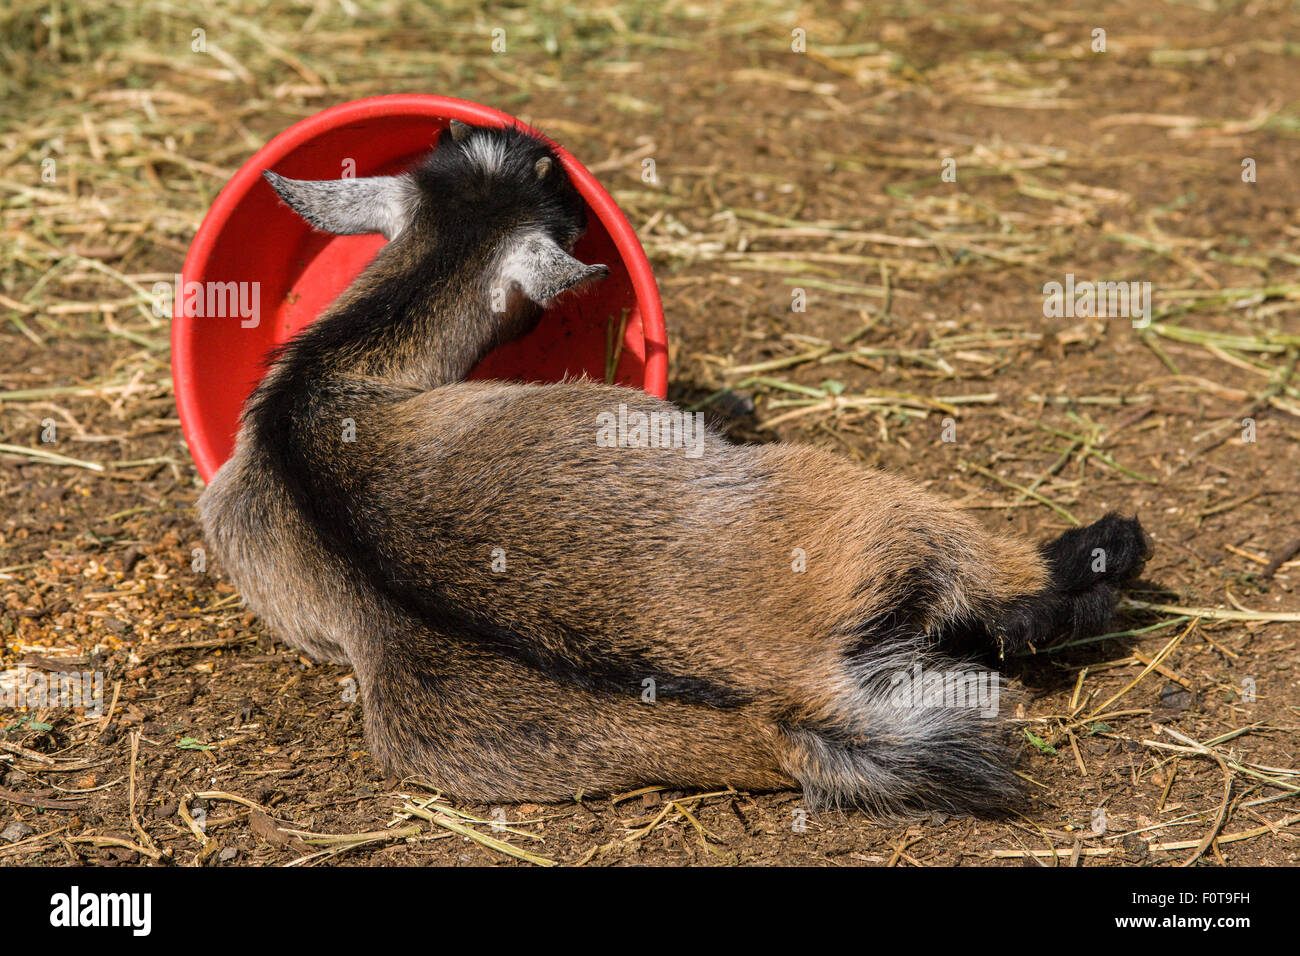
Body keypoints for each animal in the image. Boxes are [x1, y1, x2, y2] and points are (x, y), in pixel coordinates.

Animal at [199, 120, 1151, 815]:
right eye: (553, 180)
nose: (532, 135)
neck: (329, 377)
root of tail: (791, 693)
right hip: (858, 499)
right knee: (1008, 589)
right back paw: (1104, 555)